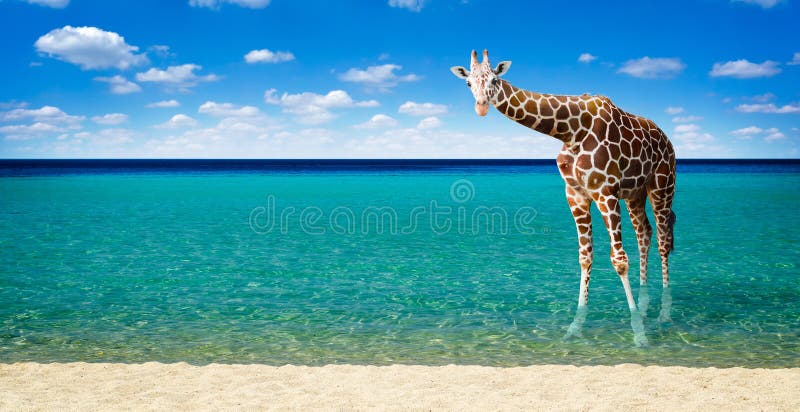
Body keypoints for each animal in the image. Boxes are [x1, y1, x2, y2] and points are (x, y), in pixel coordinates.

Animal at [451, 50, 676, 346]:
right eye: (468, 83)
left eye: (495, 80)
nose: (481, 106)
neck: (570, 130)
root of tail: (667, 139)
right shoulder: (576, 194)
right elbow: (585, 257)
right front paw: (575, 327)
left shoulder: (605, 191)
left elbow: (618, 260)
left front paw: (638, 332)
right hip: (634, 193)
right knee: (644, 232)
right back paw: (644, 298)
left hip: (662, 183)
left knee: (663, 238)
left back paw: (663, 314)